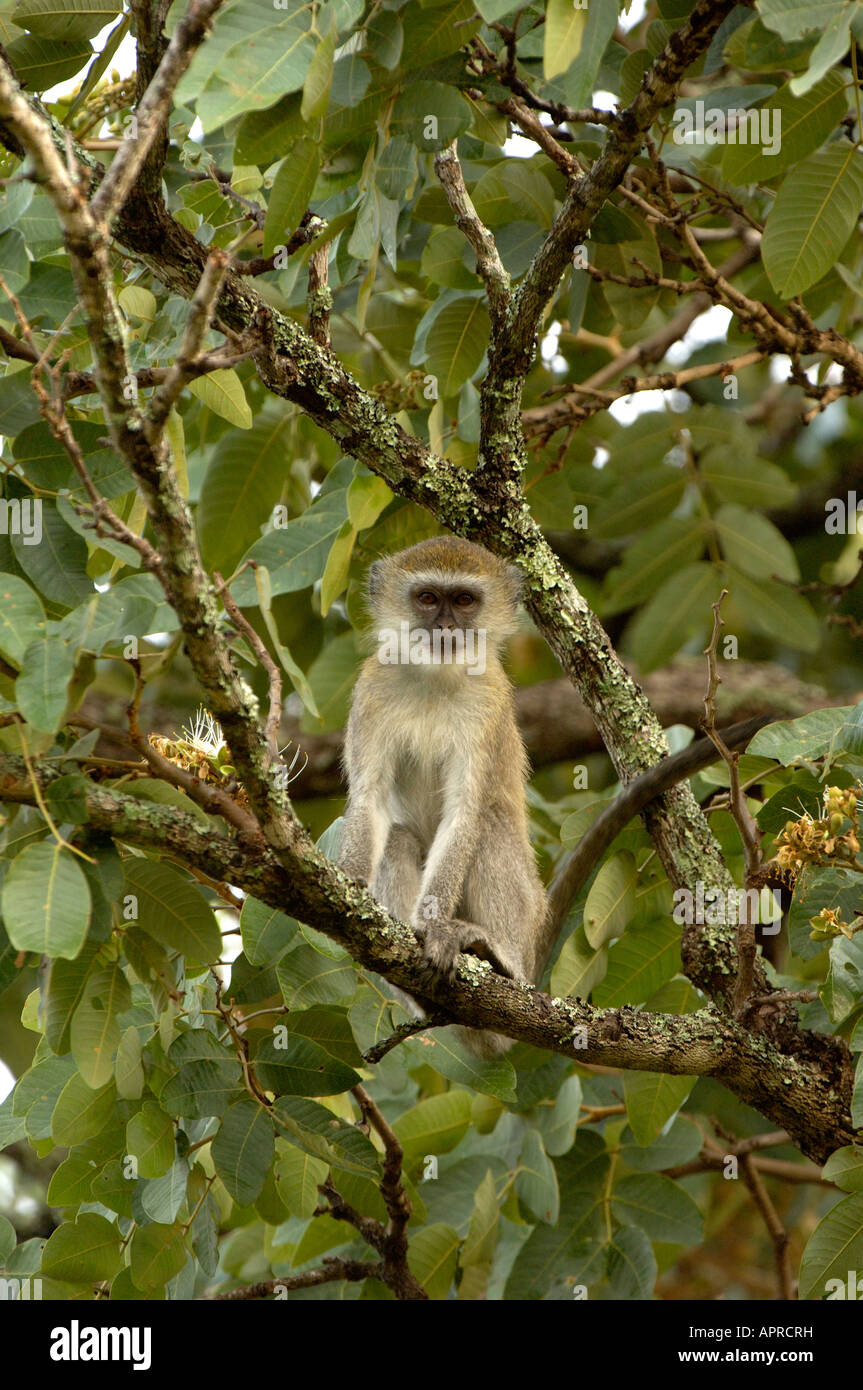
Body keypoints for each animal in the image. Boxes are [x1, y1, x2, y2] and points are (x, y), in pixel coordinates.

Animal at [338, 535, 547, 1058]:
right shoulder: (372, 689)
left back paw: (499, 961)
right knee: (395, 839)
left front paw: (434, 928)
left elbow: (465, 814)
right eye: (428, 598)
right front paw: (350, 885)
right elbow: (369, 800)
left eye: (465, 600)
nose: (447, 628)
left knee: (489, 825)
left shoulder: (488, 704)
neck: (435, 679)